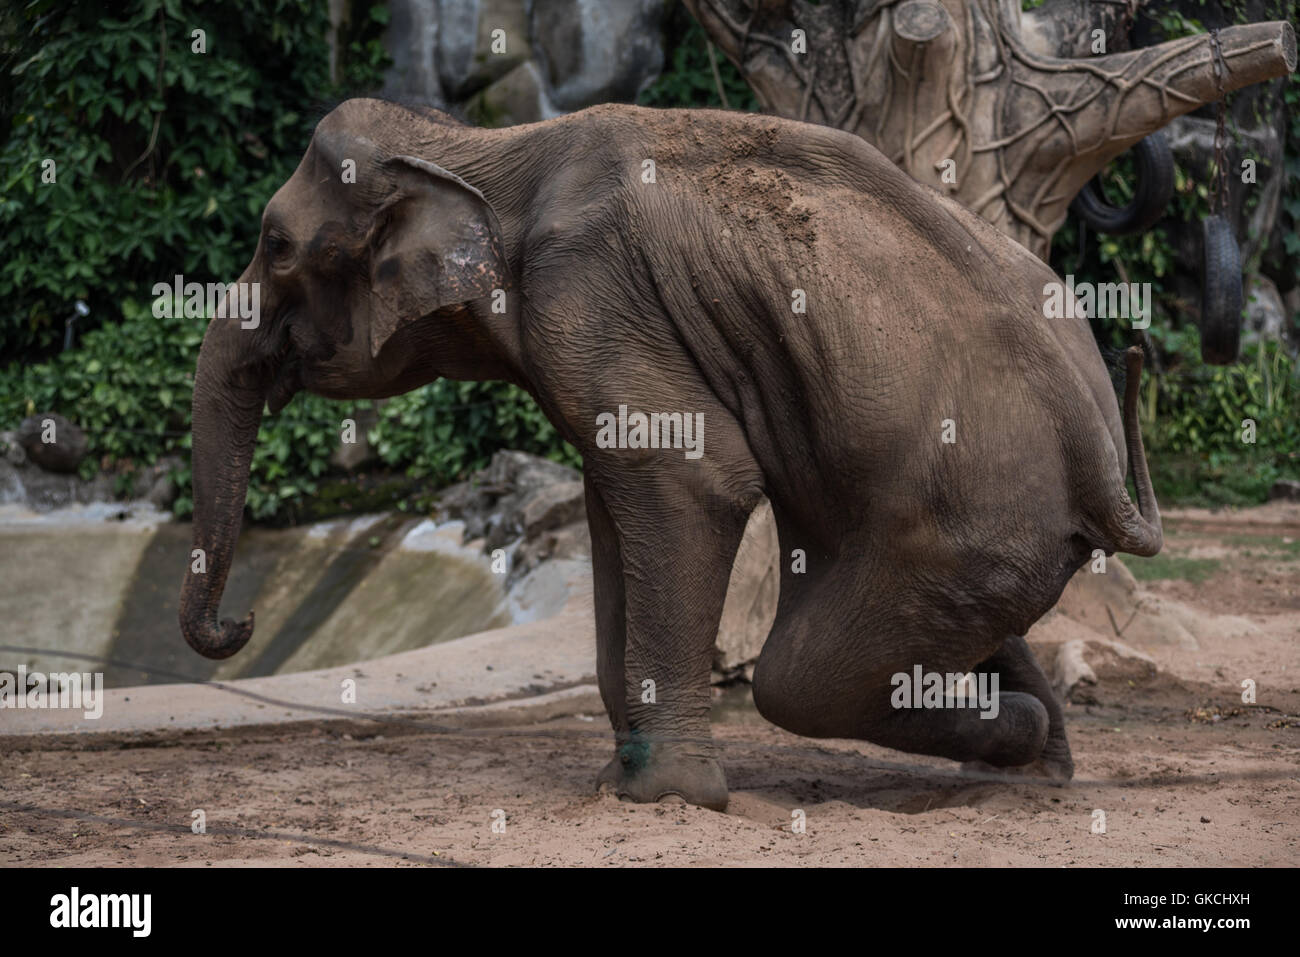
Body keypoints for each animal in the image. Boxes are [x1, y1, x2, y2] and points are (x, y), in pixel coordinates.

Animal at [179, 97, 1162, 811]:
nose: (243, 622)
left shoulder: (590, 290)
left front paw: (668, 796)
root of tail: (1105, 460)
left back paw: (1011, 741)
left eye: (276, 246)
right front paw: (619, 780)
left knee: (793, 680)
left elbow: (686, 478)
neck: (482, 144)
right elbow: (611, 498)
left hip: (964, 521)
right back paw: (1026, 762)